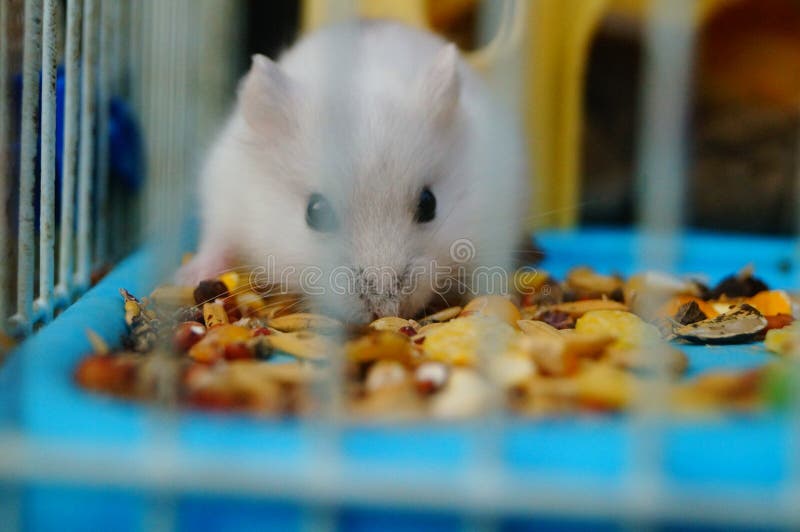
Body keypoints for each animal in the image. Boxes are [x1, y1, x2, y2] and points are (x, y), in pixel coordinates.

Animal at [179, 20, 530, 322]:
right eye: (315, 212)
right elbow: (218, 241)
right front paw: (189, 277)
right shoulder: (224, 197)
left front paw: (500, 298)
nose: (385, 308)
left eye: (429, 204)